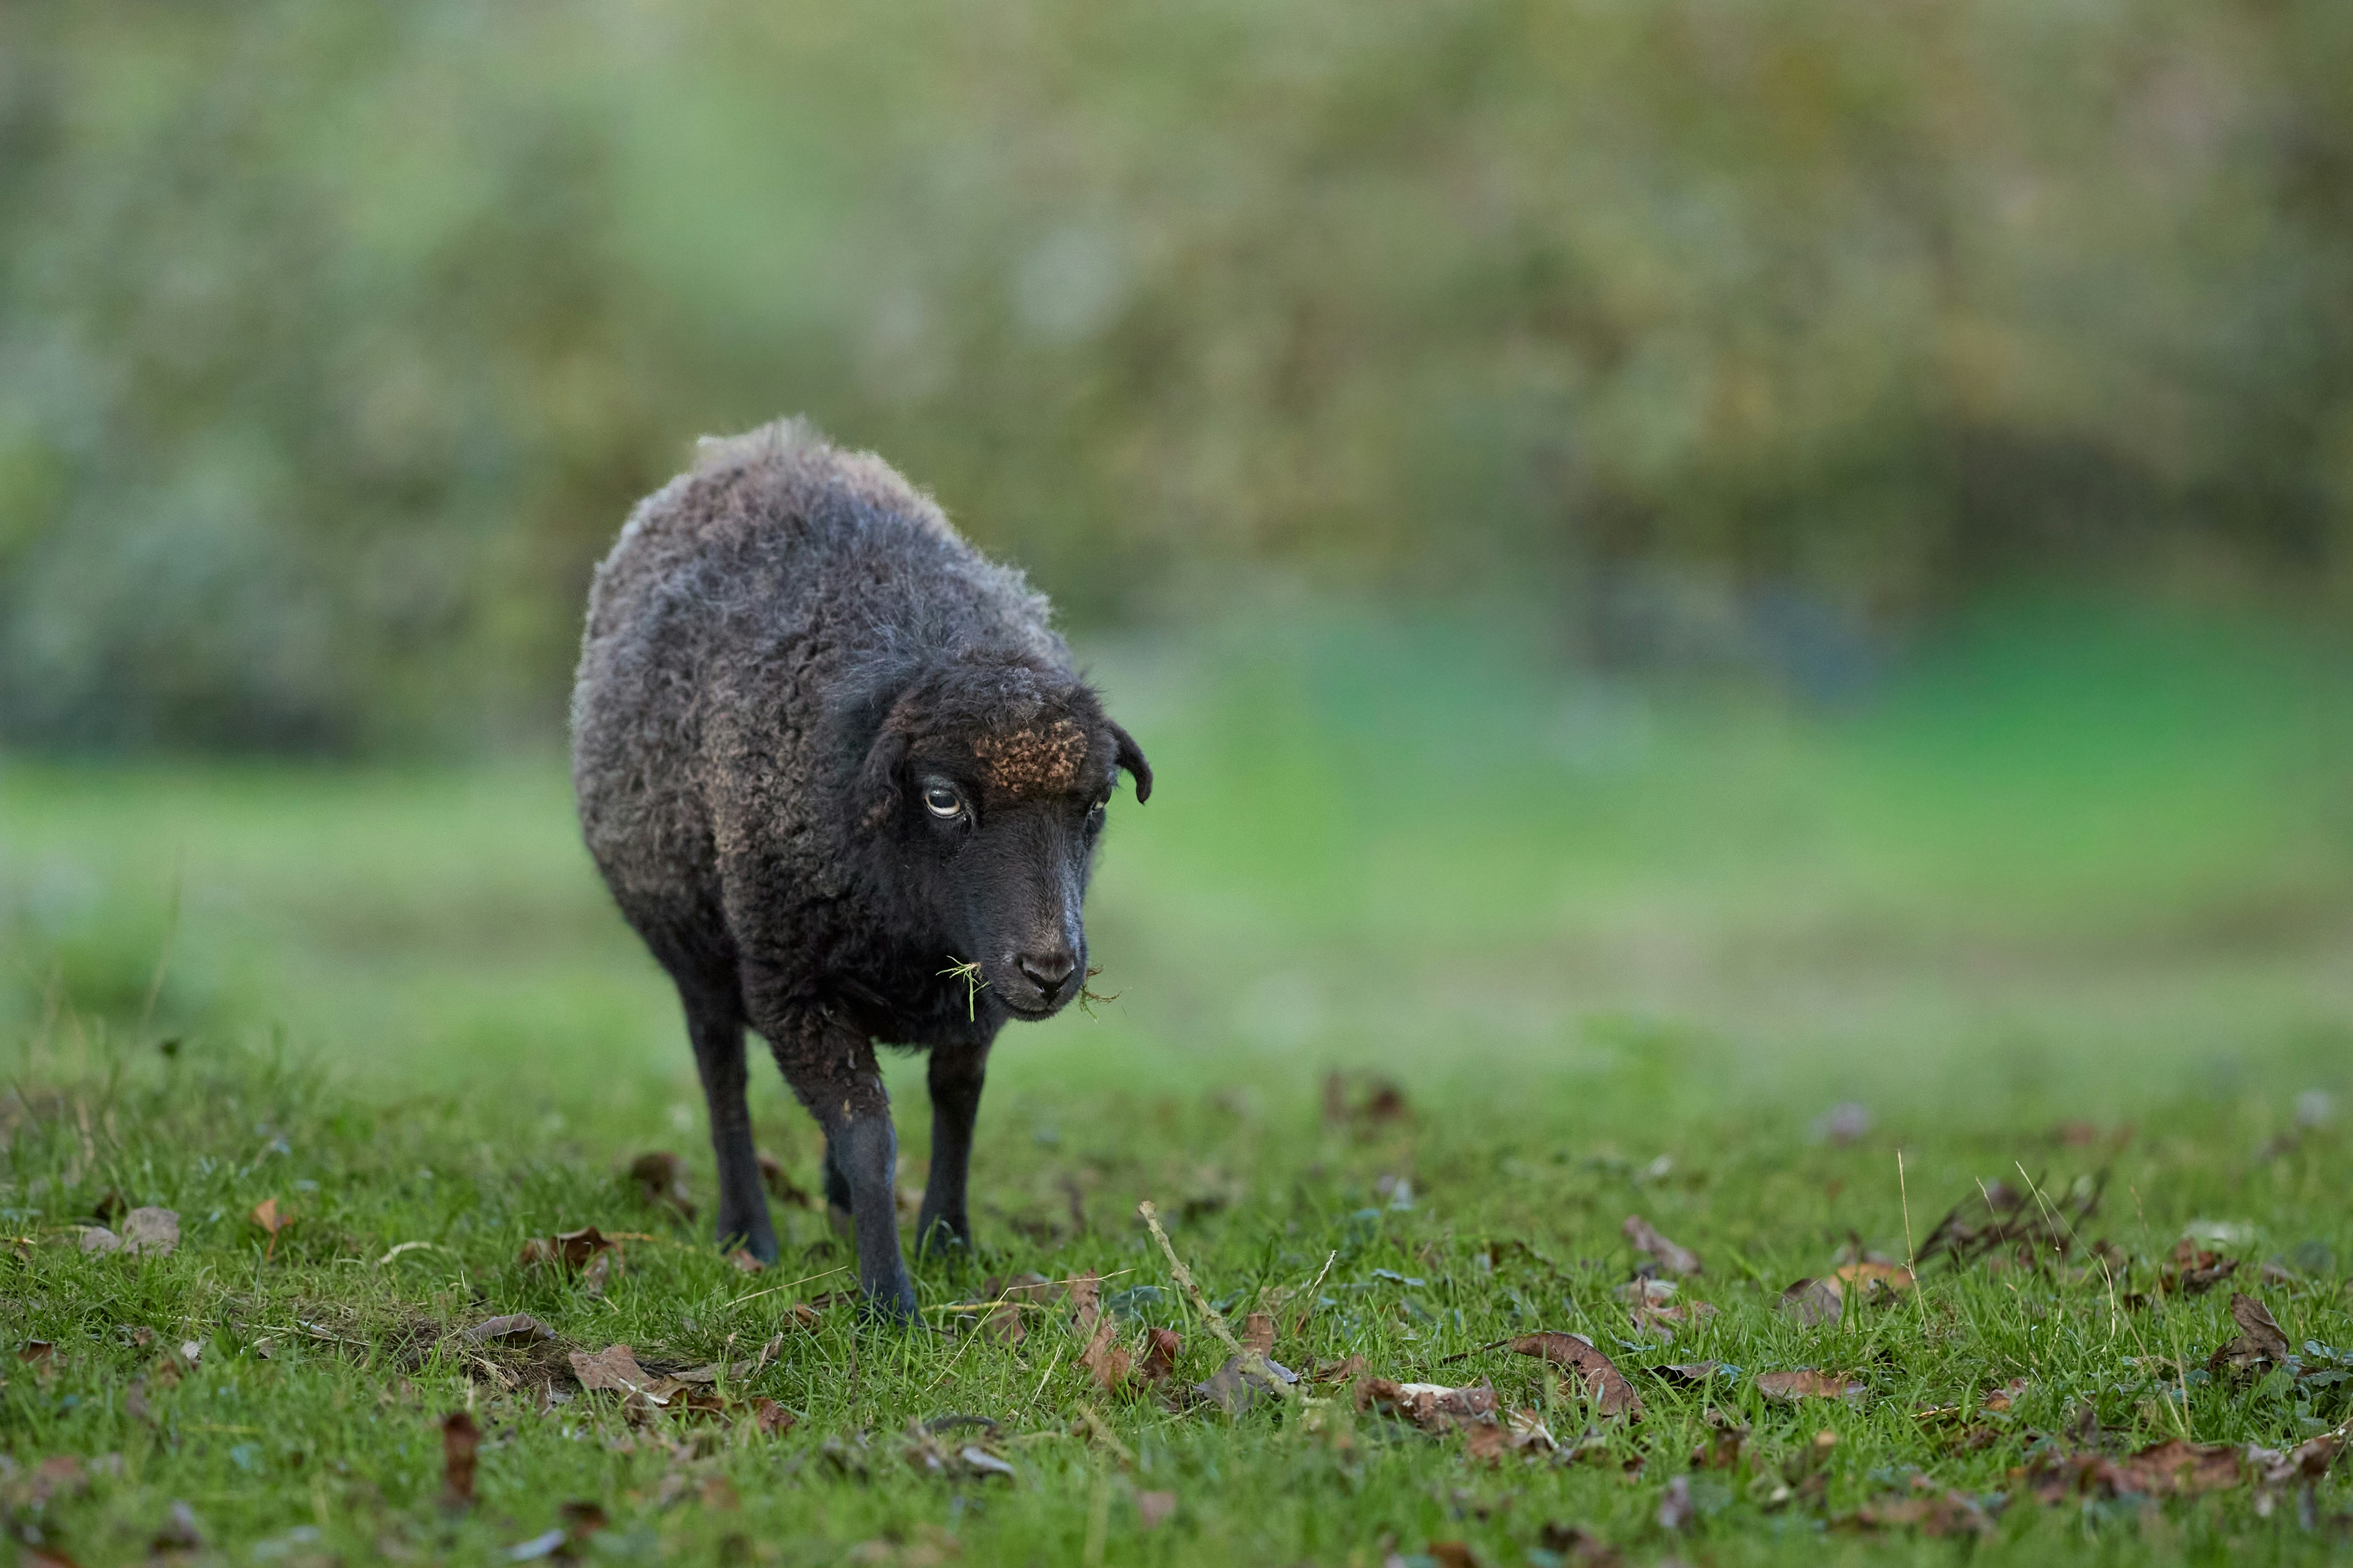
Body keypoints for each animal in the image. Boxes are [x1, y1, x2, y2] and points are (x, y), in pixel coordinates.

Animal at [569, 419, 1151, 1320]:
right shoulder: (789, 982)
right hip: (699, 950)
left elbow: (956, 1102)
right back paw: (747, 1232)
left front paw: (947, 1244)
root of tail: (751, 447)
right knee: (720, 1073)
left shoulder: (975, 994)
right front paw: (888, 1302)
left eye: (1095, 803)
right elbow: (868, 1131)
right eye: (942, 798)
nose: (1051, 969)